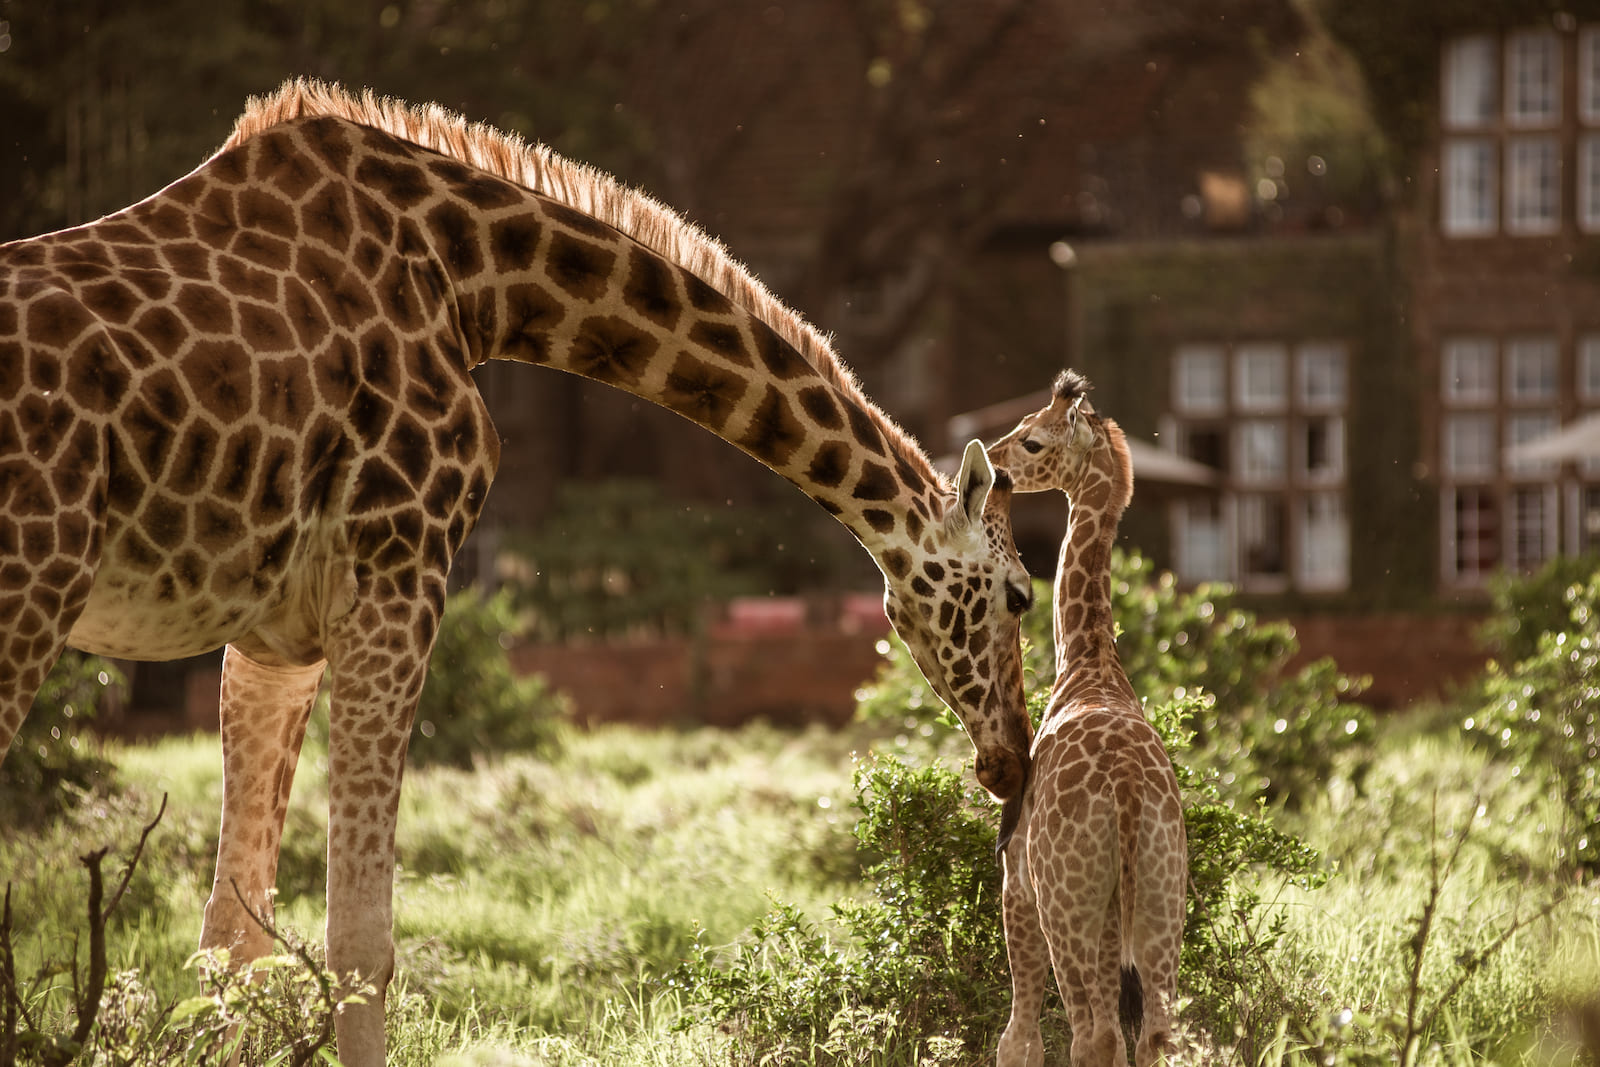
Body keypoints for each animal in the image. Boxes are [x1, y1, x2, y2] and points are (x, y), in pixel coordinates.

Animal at [0, 79, 1037, 1066]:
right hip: (34, 590)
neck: (478, 280)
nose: (1011, 760)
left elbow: (233, 931)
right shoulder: (399, 565)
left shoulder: (272, 638)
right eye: (1021, 595)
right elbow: (360, 943)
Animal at [985, 371, 1187, 1067]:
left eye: (1033, 440)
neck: (1090, 659)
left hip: (1067, 903)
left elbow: (1018, 1037)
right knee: (1154, 1033)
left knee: (1088, 1032)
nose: (994, 466)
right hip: (1159, 898)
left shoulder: (1018, 880)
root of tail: (1126, 796)